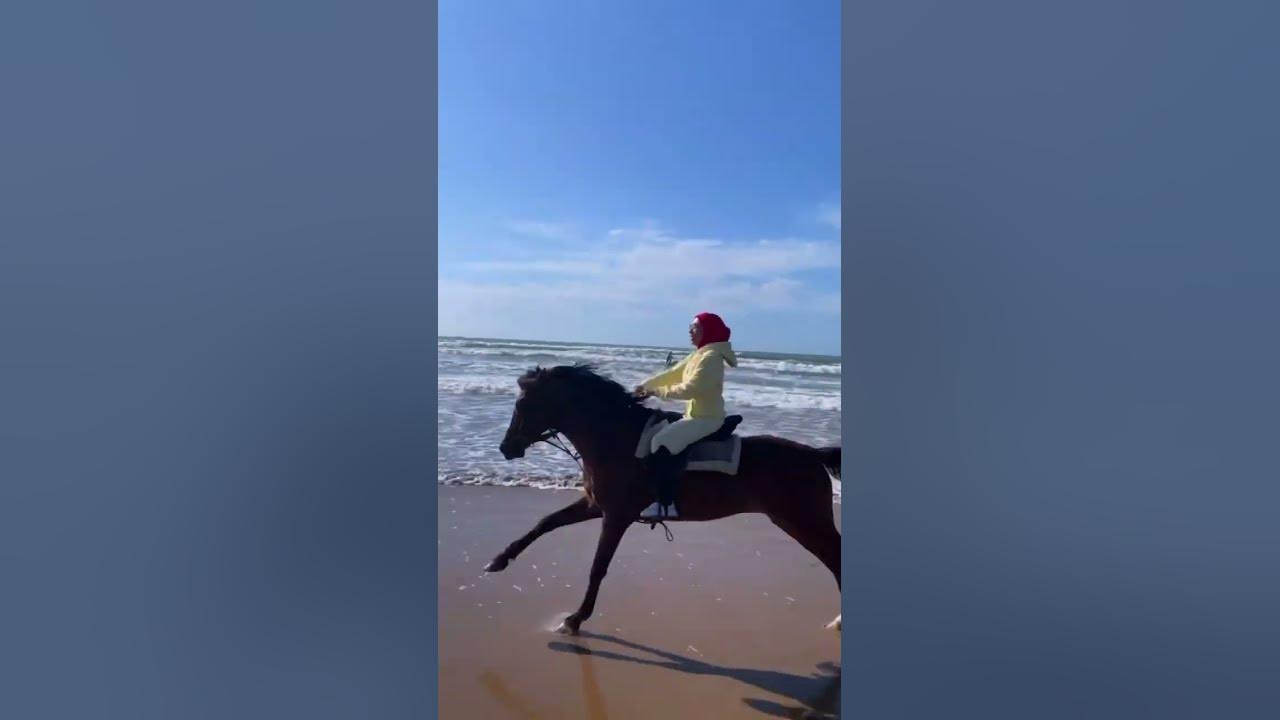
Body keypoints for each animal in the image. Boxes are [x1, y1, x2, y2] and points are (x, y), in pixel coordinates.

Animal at [485, 364, 842, 635]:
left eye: (522, 406)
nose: (506, 448)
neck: (615, 440)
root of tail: (813, 454)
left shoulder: (616, 515)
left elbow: (598, 567)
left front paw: (574, 619)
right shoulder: (596, 505)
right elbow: (546, 523)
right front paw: (499, 560)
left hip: (805, 522)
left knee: (836, 558)